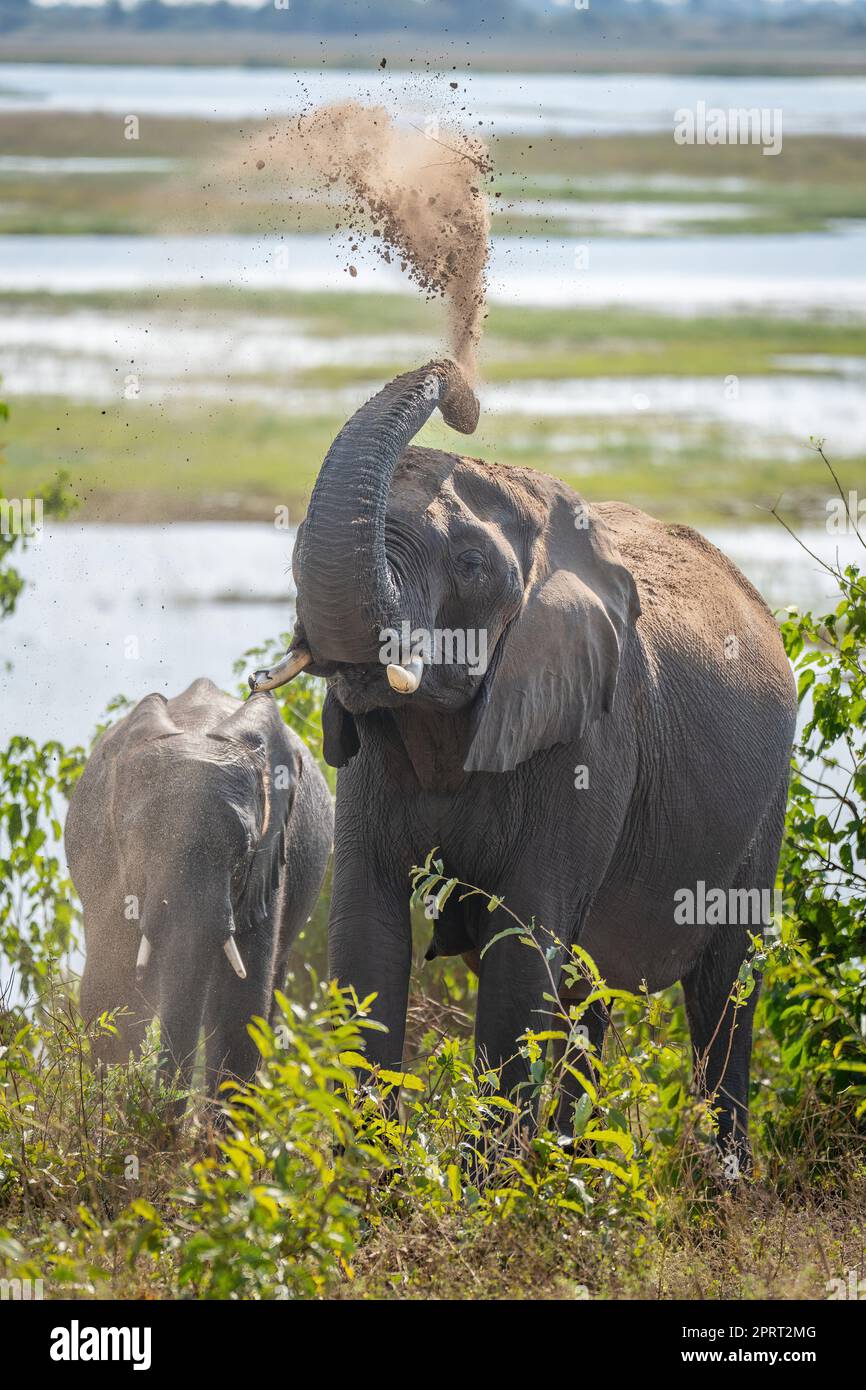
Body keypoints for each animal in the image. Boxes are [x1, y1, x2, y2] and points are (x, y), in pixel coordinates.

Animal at [66, 678, 333, 1107]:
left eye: (241, 855)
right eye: (139, 844)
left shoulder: (269, 865)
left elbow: (240, 1011)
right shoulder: (107, 865)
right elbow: (114, 997)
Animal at [250, 359, 796, 1160]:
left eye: (472, 564)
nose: (454, 384)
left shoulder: (590, 740)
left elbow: (521, 951)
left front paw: (481, 1185)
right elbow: (365, 934)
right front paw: (369, 1180)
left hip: (764, 803)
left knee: (723, 991)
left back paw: (719, 1177)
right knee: (589, 996)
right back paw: (573, 1168)